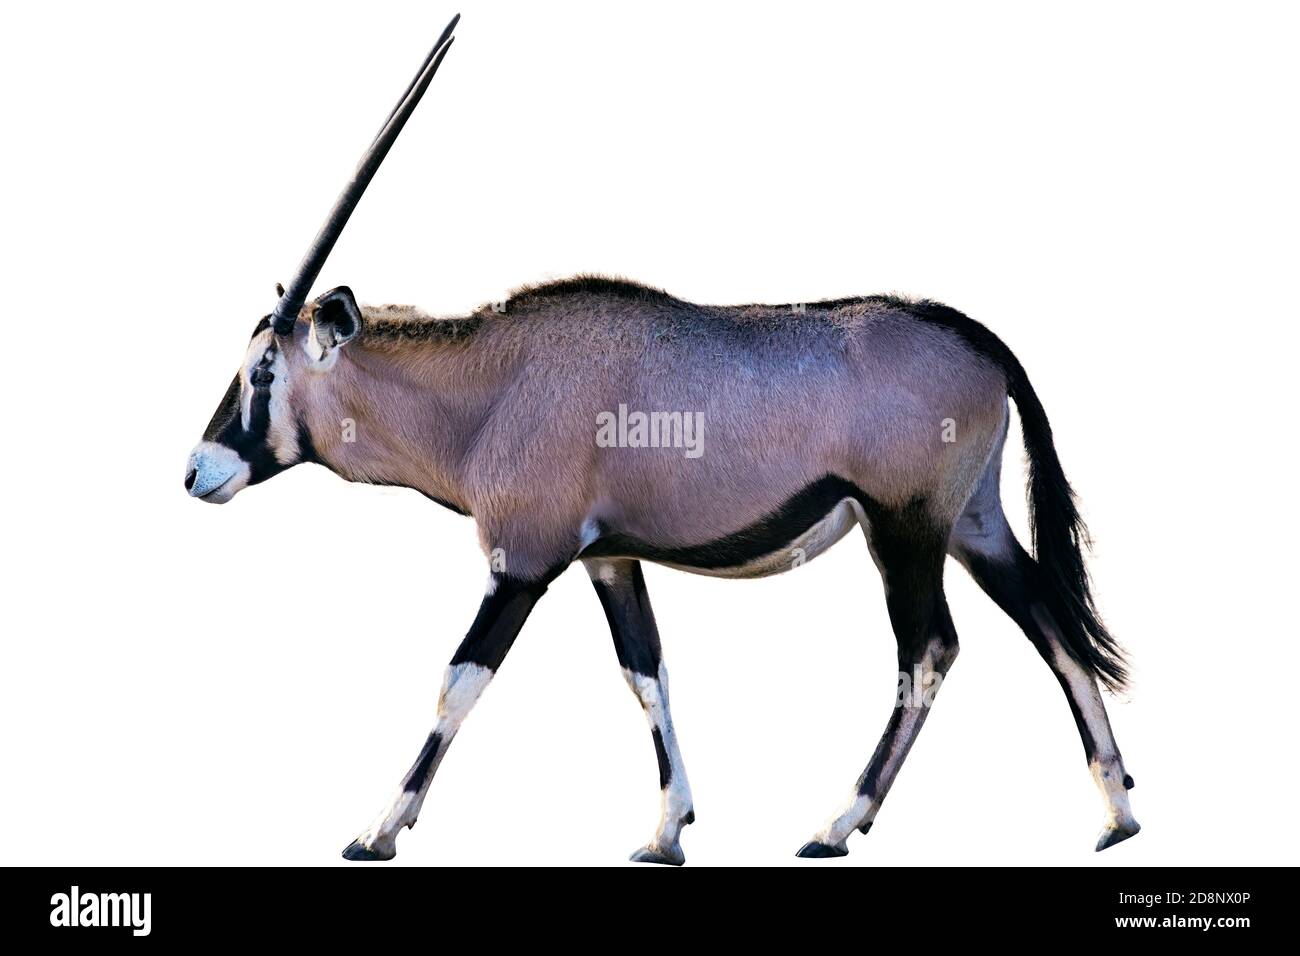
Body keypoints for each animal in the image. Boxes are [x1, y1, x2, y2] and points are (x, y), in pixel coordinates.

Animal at [186, 14, 1139, 864]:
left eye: (261, 370)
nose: (197, 470)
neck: (492, 385)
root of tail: (980, 339)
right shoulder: (610, 557)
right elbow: (647, 675)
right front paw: (666, 833)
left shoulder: (523, 560)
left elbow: (458, 683)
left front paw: (376, 831)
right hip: (971, 523)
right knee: (1050, 623)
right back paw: (1117, 813)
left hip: (904, 529)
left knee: (930, 650)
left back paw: (837, 824)